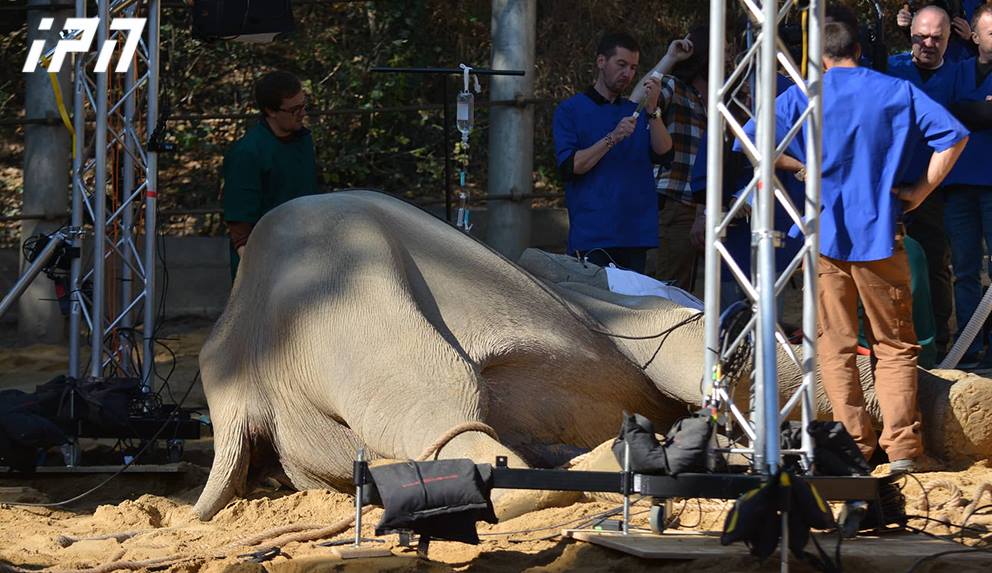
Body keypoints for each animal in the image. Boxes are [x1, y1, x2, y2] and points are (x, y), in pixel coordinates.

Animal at [193, 190, 992, 520]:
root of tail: (237, 392)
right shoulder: (642, 312)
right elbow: (698, 346)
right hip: (346, 291)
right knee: (447, 415)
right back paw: (640, 459)